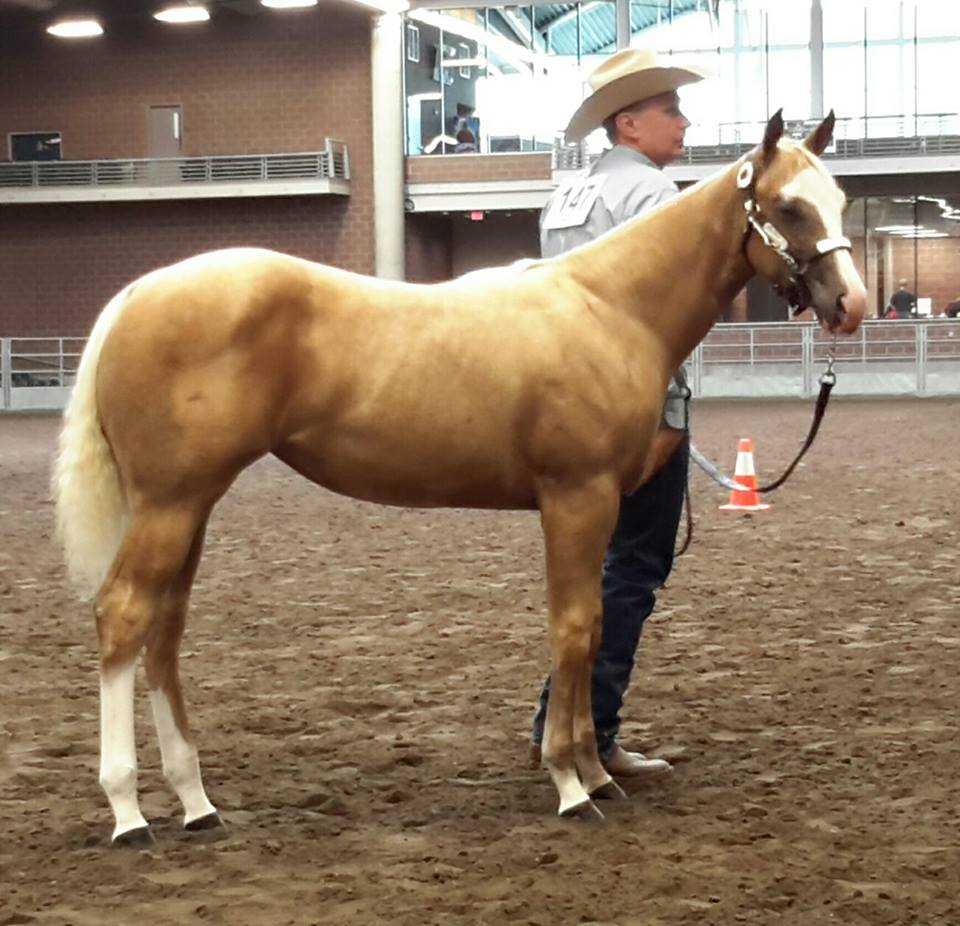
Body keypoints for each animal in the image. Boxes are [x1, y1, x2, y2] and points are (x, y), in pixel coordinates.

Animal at [54, 110, 865, 845]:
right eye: (788, 207)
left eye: (840, 198)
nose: (851, 304)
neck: (611, 307)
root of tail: (137, 295)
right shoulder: (577, 498)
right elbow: (574, 627)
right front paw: (572, 783)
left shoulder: (593, 504)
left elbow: (596, 625)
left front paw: (597, 771)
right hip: (169, 505)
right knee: (123, 616)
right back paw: (128, 812)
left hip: (188, 505)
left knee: (163, 632)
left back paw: (196, 802)